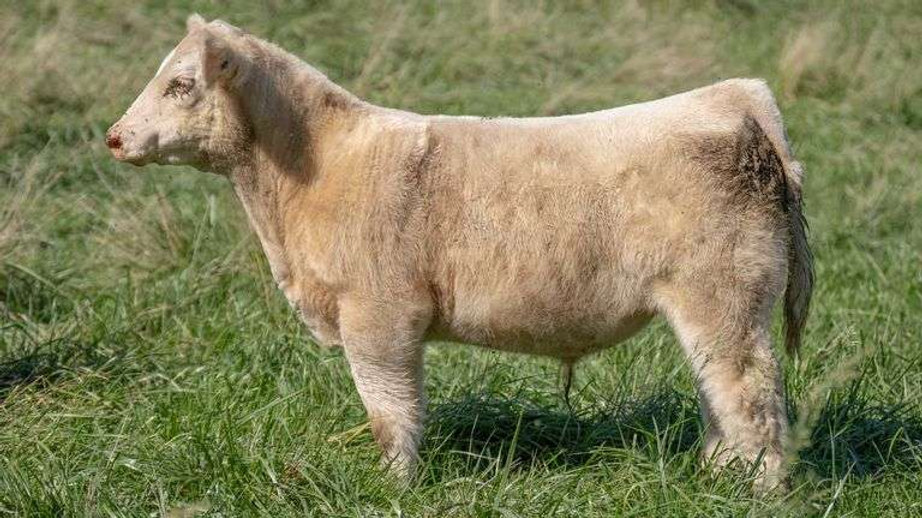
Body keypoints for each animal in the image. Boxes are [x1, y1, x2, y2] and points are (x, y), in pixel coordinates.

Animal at [106, 14, 813, 491]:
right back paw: (717, 473)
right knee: (720, 393)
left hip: (724, 298)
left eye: (180, 84)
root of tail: (735, 97)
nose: (113, 136)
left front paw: (393, 485)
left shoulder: (378, 316)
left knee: (751, 396)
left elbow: (390, 408)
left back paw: (756, 490)